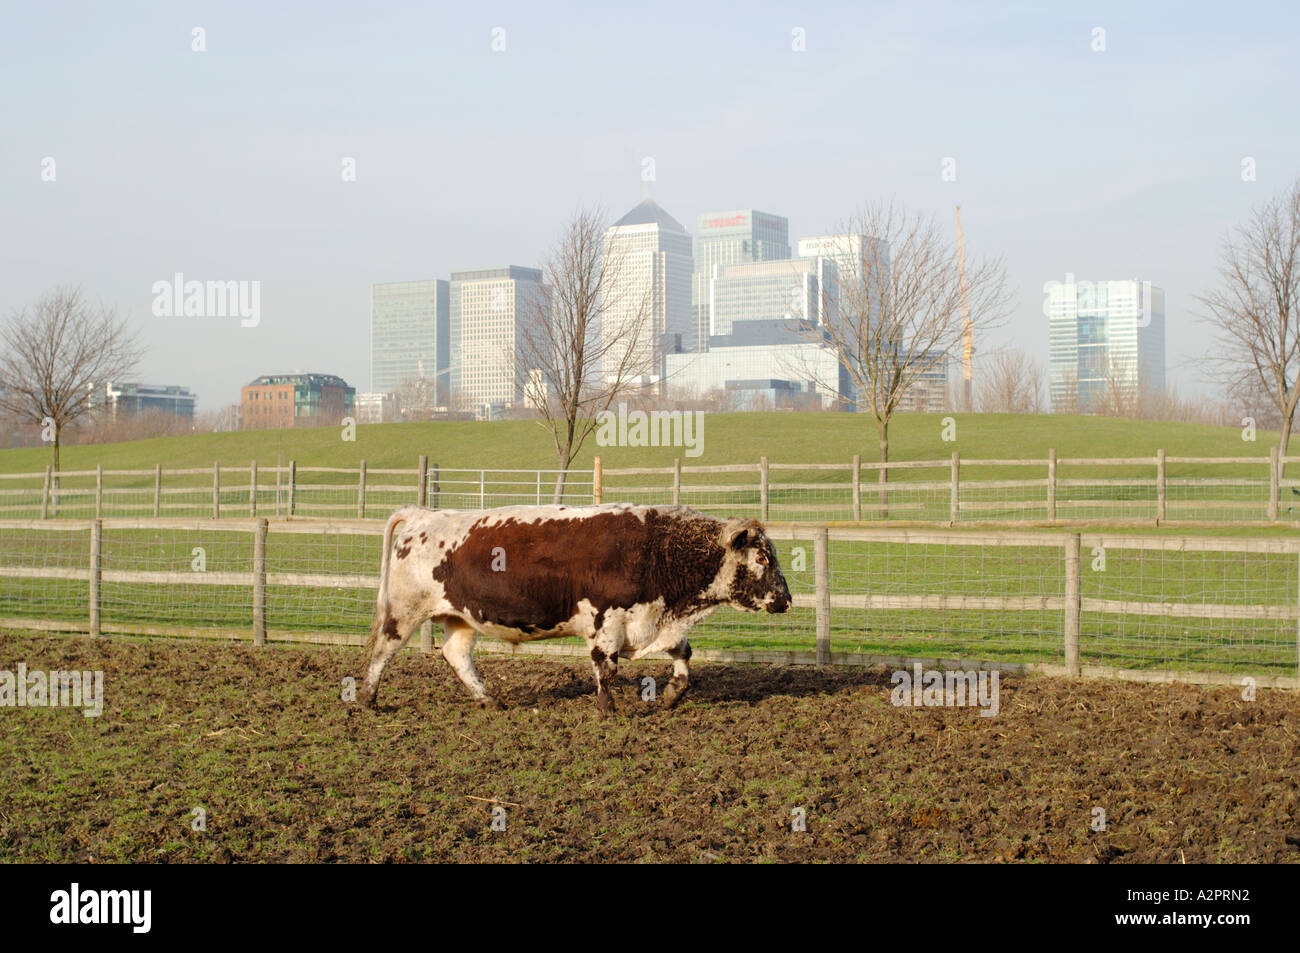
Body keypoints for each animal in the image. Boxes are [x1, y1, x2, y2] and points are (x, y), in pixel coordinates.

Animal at [356, 502, 792, 714]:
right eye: (762, 558)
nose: (786, 600)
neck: (658, 549)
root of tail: (423, 515)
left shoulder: (652, 621)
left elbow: (684, 657)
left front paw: (671, 695)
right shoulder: (606, 624)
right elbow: (607, 669)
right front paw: (606, 709)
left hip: (460, 616)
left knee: (456, 655)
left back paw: (488, 700)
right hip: (405, 612)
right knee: (383, 650)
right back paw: (366, 699)